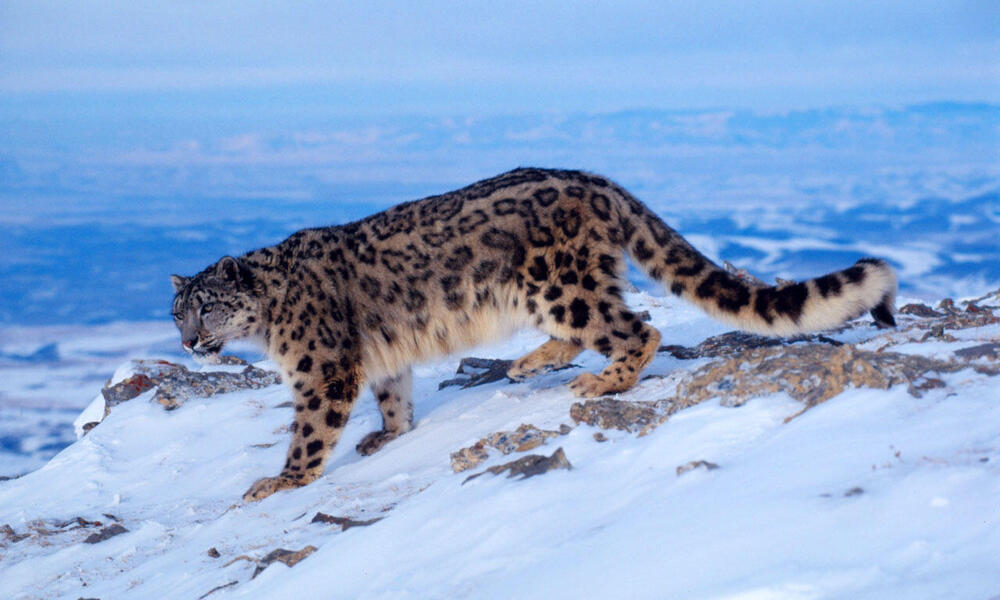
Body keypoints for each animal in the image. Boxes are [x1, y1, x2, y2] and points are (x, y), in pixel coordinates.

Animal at [170, 167, 897, 502]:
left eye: (208, 307)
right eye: (177, 312)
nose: (187, 344)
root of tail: (597, 182)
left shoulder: (321, 366)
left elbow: (311, 428)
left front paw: (280, 481)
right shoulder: (376, 357)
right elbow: (394, 391)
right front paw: (388, 435)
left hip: (558, 283)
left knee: (635, 328)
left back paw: (600, 380)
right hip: (556, 290)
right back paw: (529, 364)